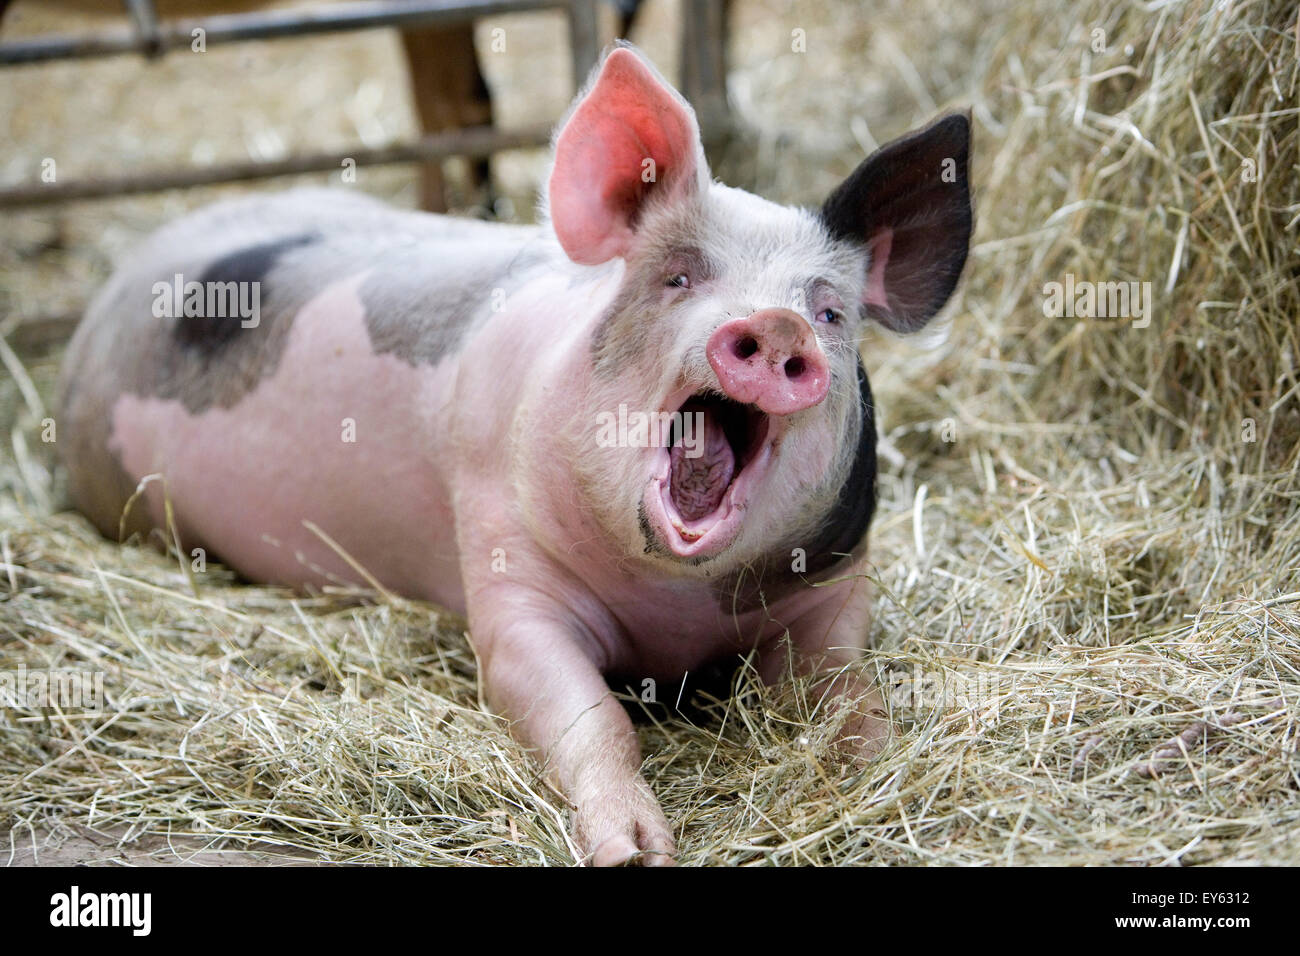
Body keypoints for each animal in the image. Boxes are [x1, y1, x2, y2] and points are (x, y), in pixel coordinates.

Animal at [58, 44, 973, 865]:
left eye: (829, 312)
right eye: (678, 278)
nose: (776, 325)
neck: (676, 610)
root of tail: (111, 287)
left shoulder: (837, 584)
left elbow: (850, 687)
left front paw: (881, 768)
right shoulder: (506, 562)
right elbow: (588, 713)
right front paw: (633, 851)